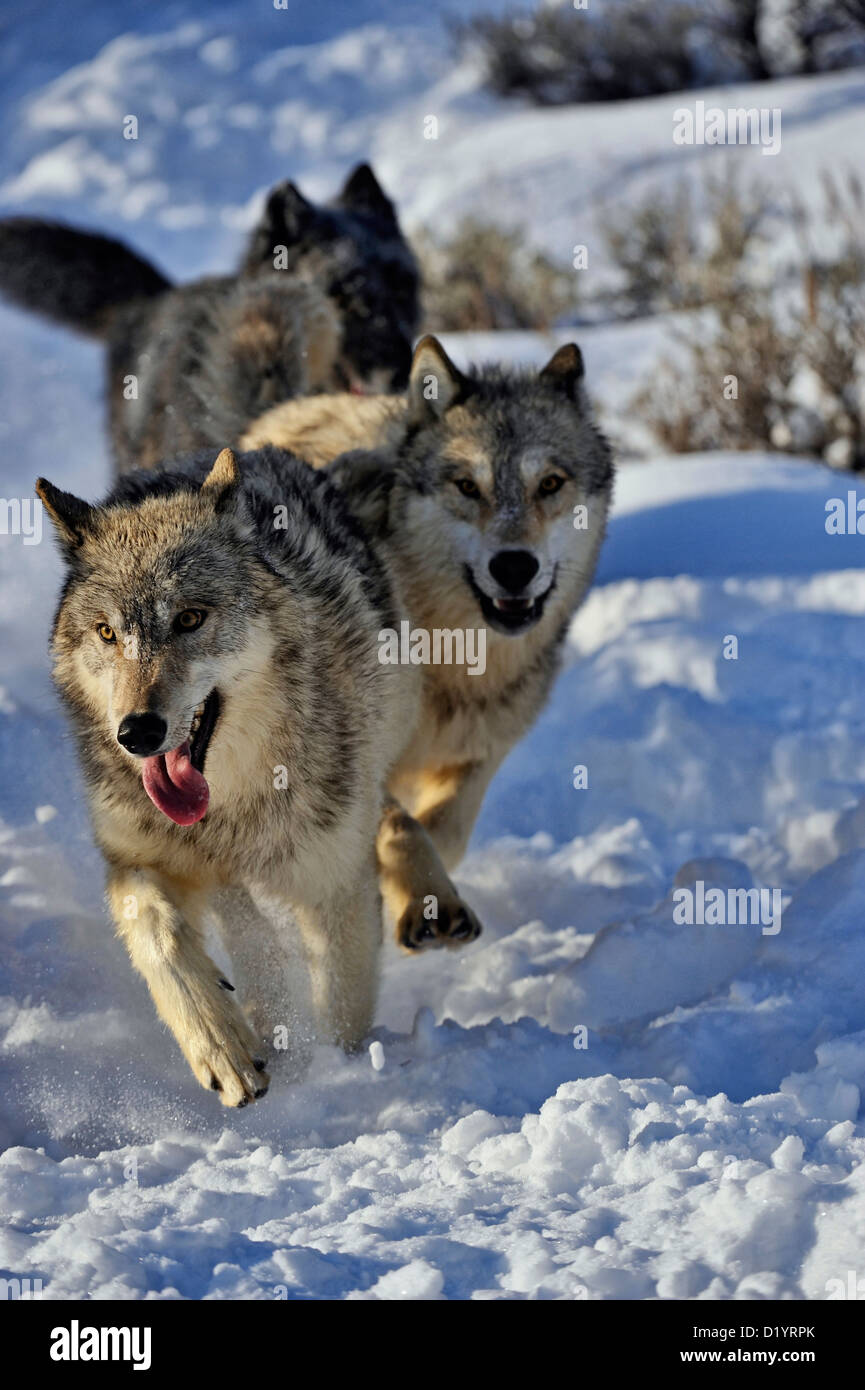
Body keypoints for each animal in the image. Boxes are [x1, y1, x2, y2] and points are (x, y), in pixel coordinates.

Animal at [35, 443, 459, 1104]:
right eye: (106, 632)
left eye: (189, 618)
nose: (137, 733)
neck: (230, 804)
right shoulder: (135, 858)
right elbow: (156, 931)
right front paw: (223, 1048)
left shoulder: (332, 883)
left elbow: (341, 1009)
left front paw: (333, 1079)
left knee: (386, 812)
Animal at [241, 336, 614, 950]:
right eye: (467, 486)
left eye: (550, 484)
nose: (514, 566)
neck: (453, 657)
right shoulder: (359, 758)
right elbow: (403, 825)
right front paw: (427, 904)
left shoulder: (481, 748)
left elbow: (448, 830)